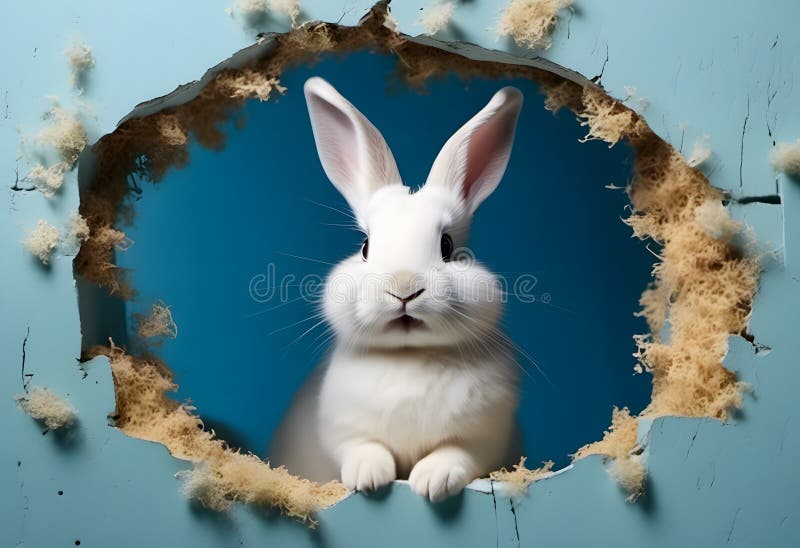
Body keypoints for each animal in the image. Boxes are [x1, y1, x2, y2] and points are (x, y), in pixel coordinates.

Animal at [268, 77, 524, 502]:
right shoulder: (344, 430)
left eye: (447, 247)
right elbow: (362, 448)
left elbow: (455, 454)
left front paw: (432, 481)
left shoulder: (483, 439)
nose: (404, 289)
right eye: (365, 247)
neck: (409, 356)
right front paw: (369, 477)